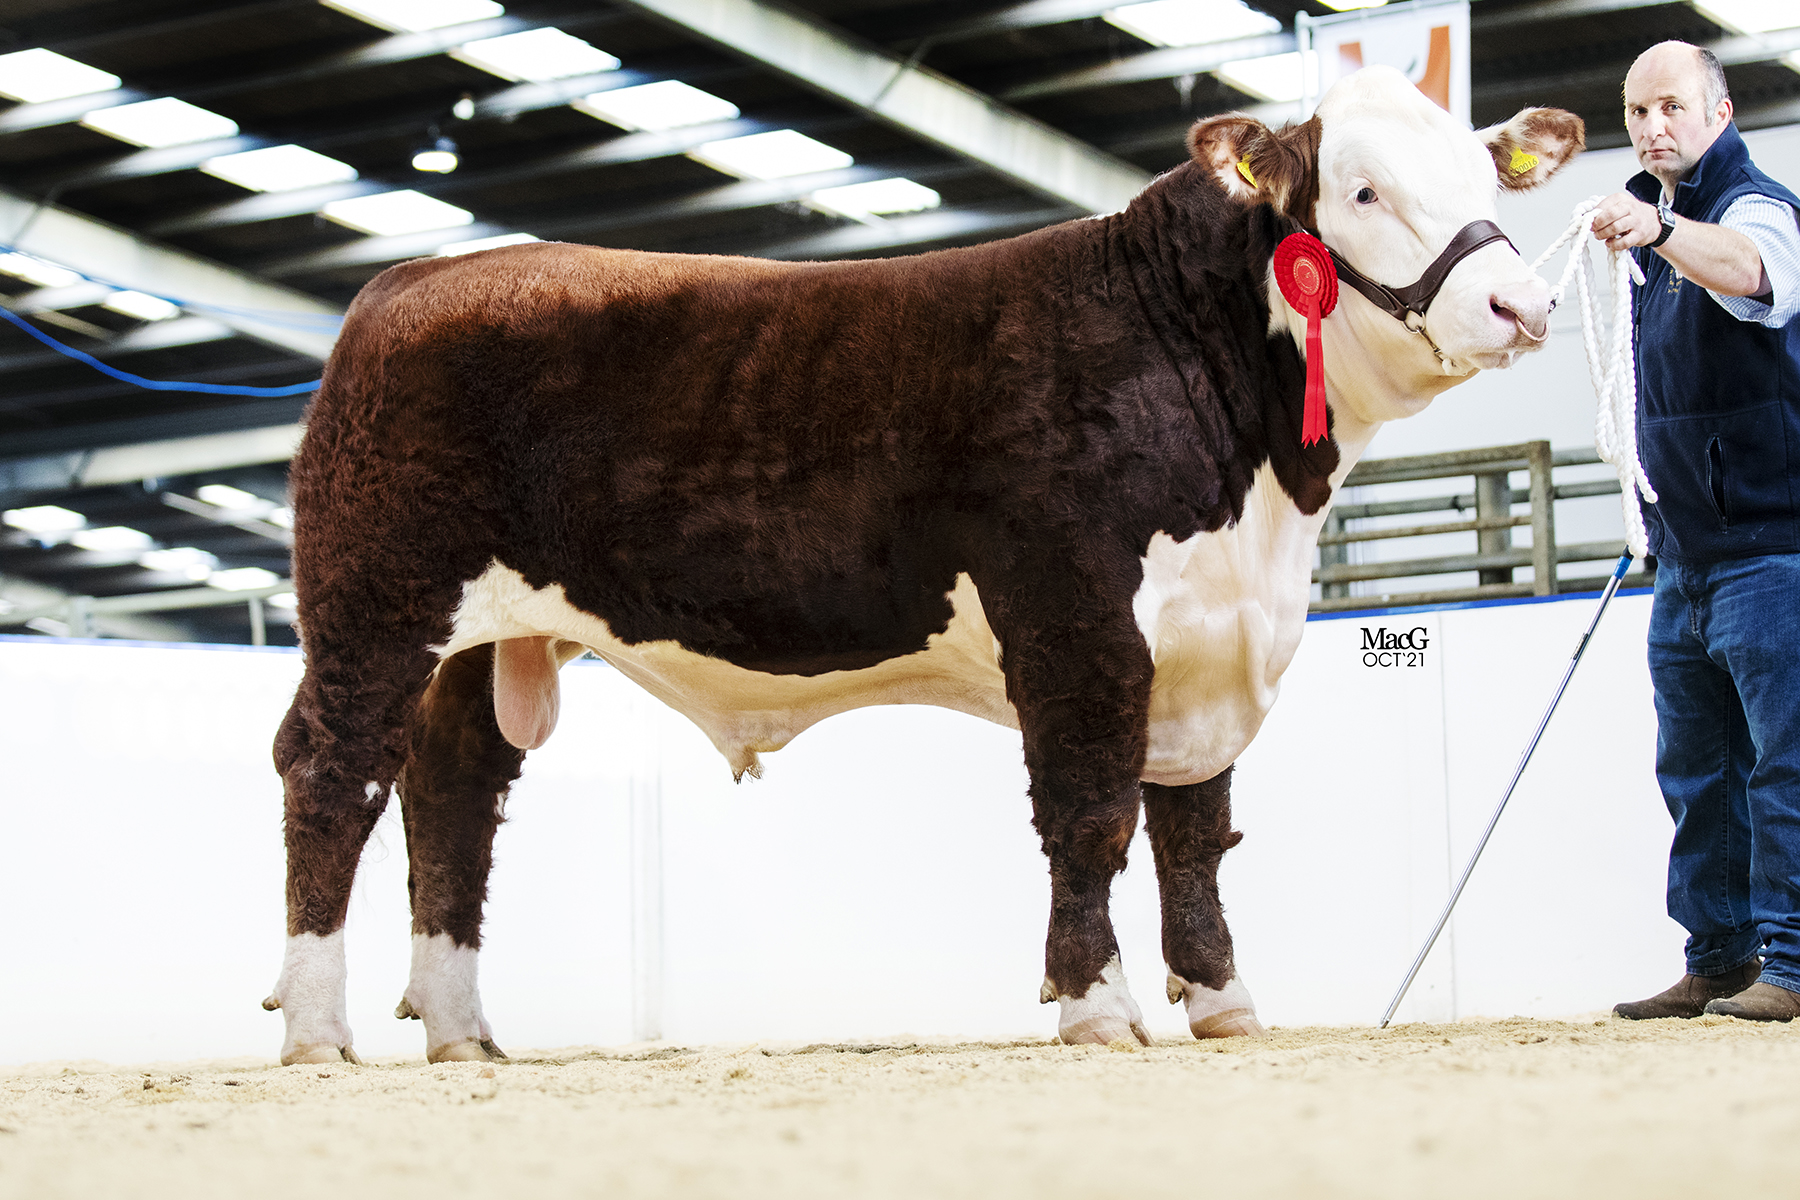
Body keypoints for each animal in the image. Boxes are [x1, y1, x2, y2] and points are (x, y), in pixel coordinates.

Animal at [263, 67, 1583, 1064]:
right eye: (1362, 188)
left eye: (1486, 181)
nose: (1521, 305)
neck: (1261, 503)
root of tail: (415, 279)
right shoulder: (1076, 625)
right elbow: (1094, 816)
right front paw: (1097, 1008)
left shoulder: (1208, 641)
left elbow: (1194, 833)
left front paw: (1224, 1005)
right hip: (375, 604)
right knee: (332, 774)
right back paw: (318, 1031)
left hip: (481, 638)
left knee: (451, 791)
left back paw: (461, 1034)